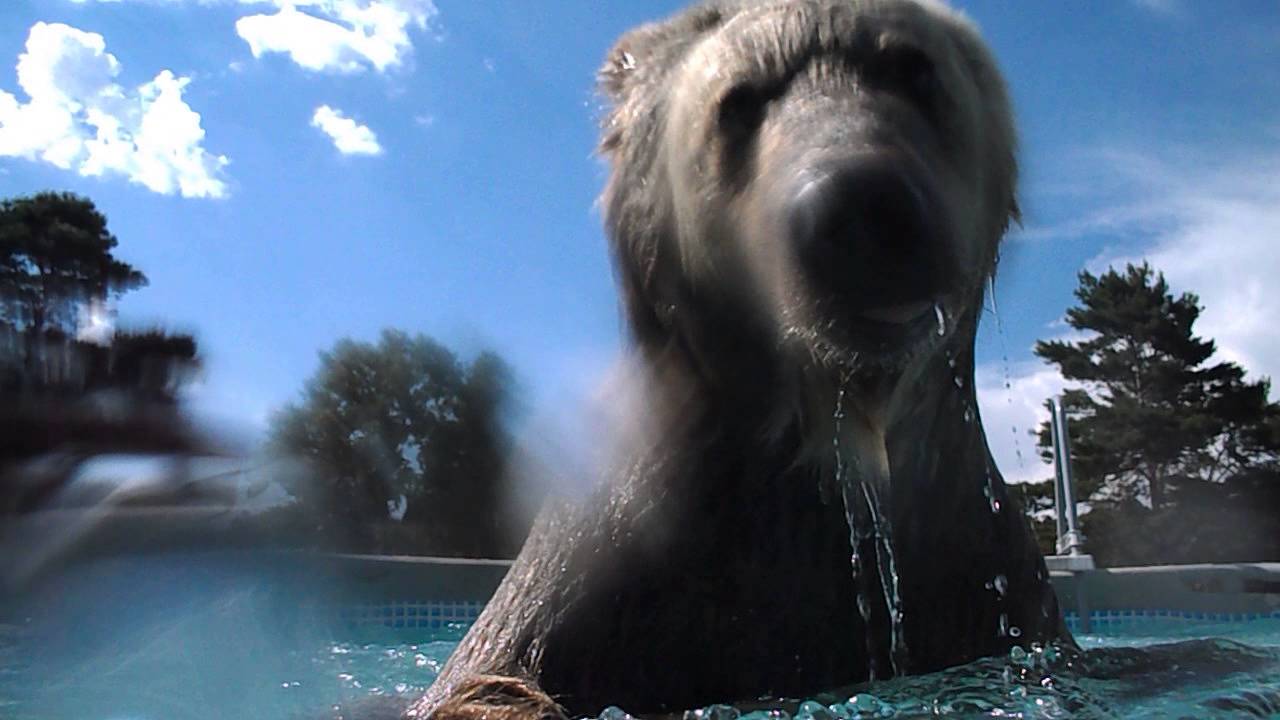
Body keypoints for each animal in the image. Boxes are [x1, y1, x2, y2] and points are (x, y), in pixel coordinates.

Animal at [408, 1, 1066, 717]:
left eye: (911, 66)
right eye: (739, 100)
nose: (861, 202)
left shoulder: (983, 581)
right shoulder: (601, 587)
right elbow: (491, 682)